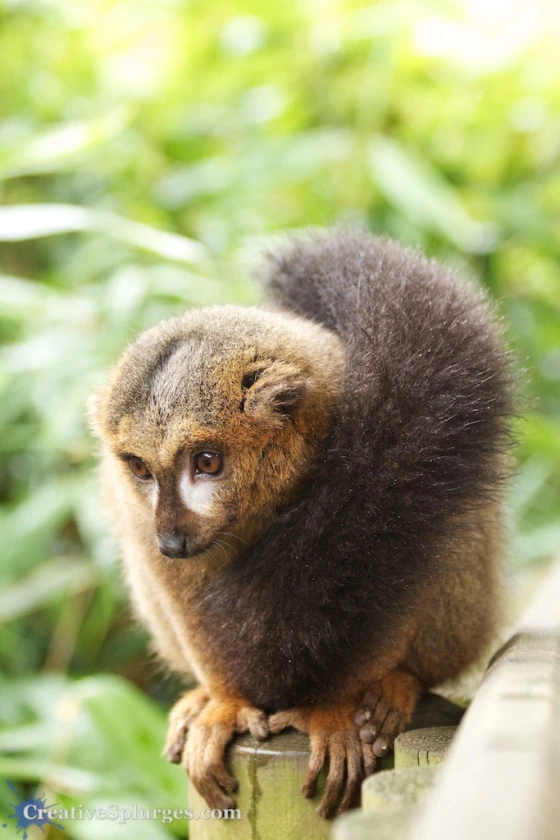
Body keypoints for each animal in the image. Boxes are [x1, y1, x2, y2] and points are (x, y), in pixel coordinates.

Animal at [89, 230, 516, 819]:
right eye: (140, 470)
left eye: (207, 462)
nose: (172, 537)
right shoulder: (138, 515)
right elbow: (175, 589)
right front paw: (226, 702)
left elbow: (393, 573)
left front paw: (331, 708)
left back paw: (398, 684)